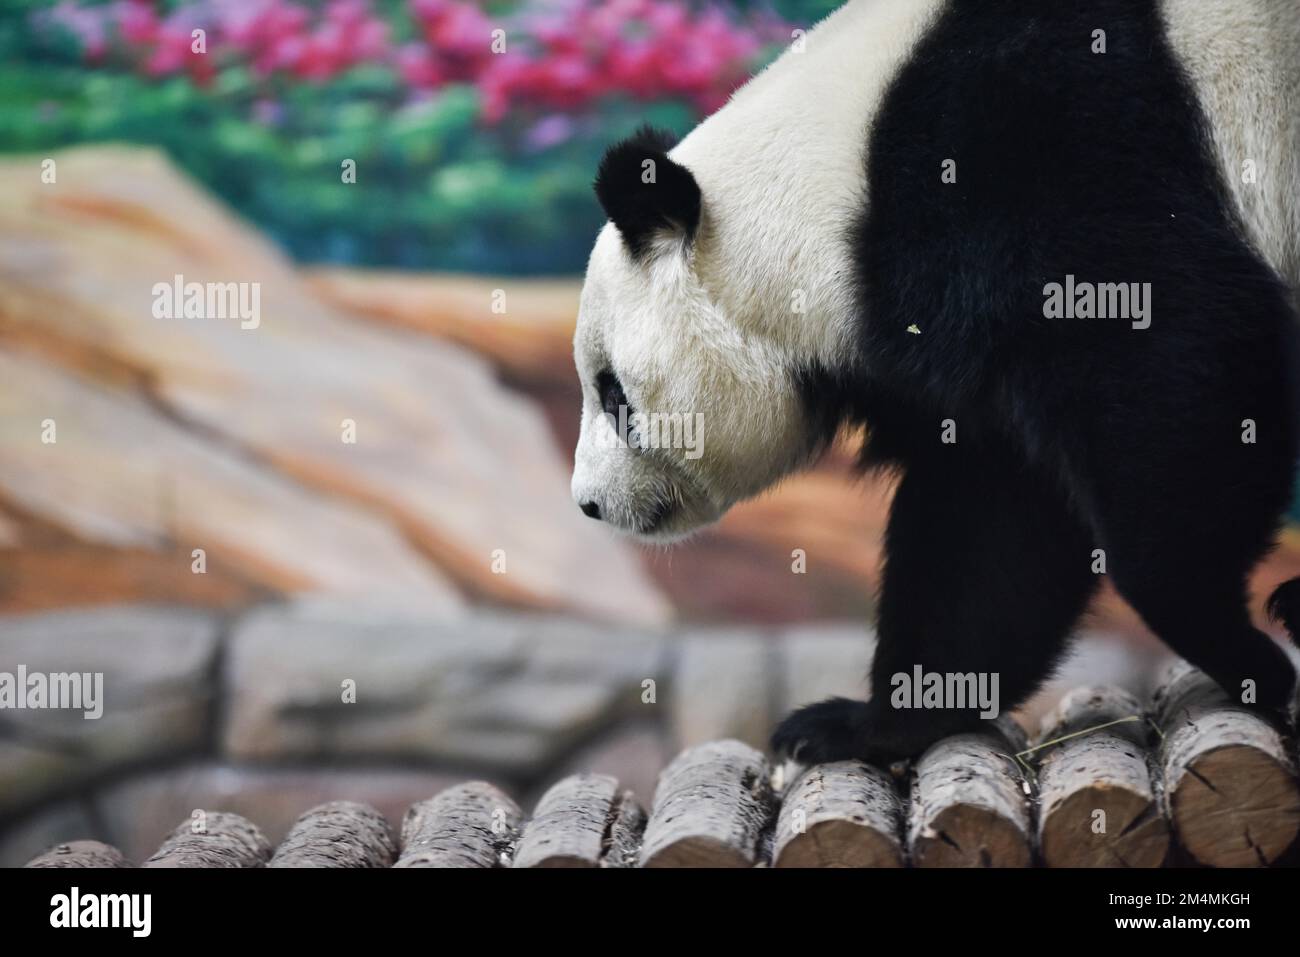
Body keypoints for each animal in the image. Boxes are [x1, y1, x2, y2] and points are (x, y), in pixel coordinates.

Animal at [570, 0, 1300, 764]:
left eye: (614, 393)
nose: (590, 503)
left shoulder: (1036, 154)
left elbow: (1172, 361)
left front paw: (1239, 651)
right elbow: (992, 519)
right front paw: (864, 722)